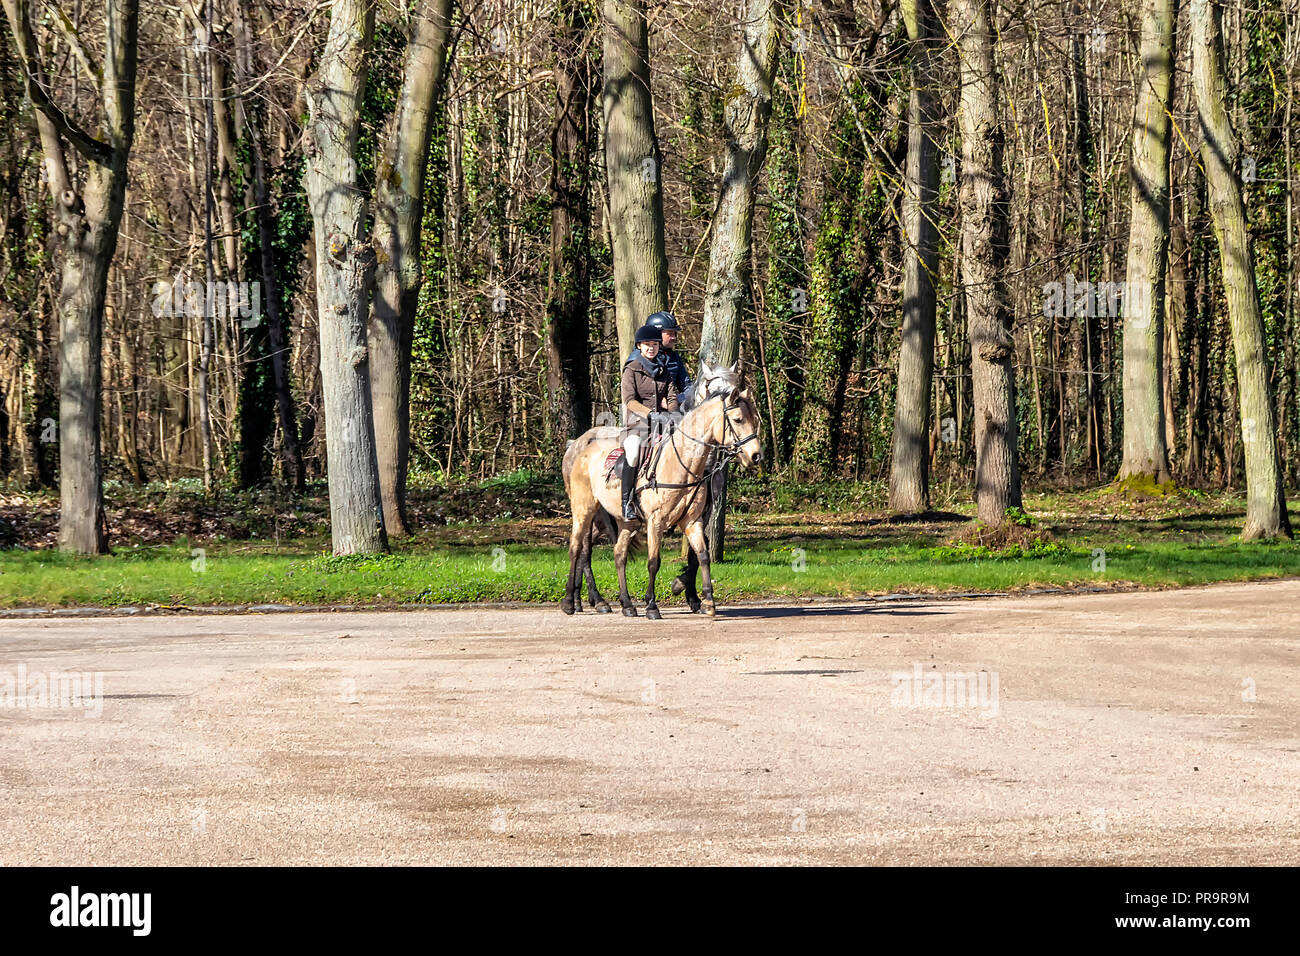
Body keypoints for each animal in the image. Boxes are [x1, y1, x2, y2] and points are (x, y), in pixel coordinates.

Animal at [562, 372, 762, 619]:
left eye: (755, 420)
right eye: (738, 420)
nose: (756, 456)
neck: (684, 464)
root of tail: (581, 447)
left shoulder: (693, 520)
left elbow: (701, 555)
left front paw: (706, 601)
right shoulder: (655, 522)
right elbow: (653, 562)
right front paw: (652, 605)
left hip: (624, 520)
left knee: (618, 553)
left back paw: (624, 604)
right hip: (585, 511)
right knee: (577, 549)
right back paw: (572, 602)